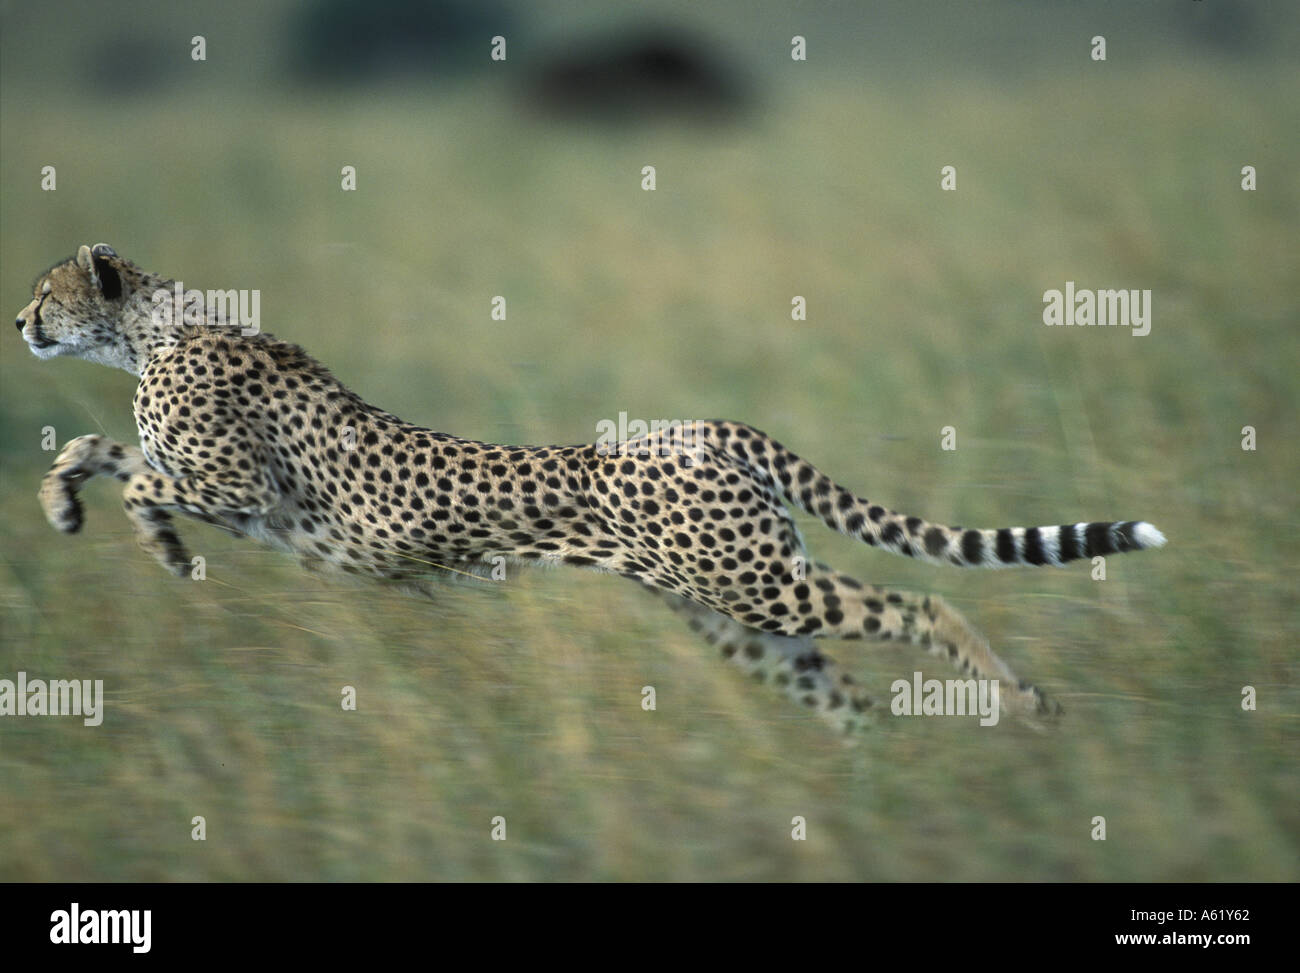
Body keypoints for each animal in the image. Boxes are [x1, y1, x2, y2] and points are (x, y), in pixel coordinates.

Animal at [16, 244, 1166, 734]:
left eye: (43, 292)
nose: (20, 323)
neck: (154, 329)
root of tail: (701, 424)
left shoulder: (236, 485)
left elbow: (137, 475)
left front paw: (159, 546)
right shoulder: (217, 481)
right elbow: (95, 447)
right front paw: (62, 503)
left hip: (761, 586)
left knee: (920, 603)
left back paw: (1020, 698)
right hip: (735, 616)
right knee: (849, 695)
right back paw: (874, 787)